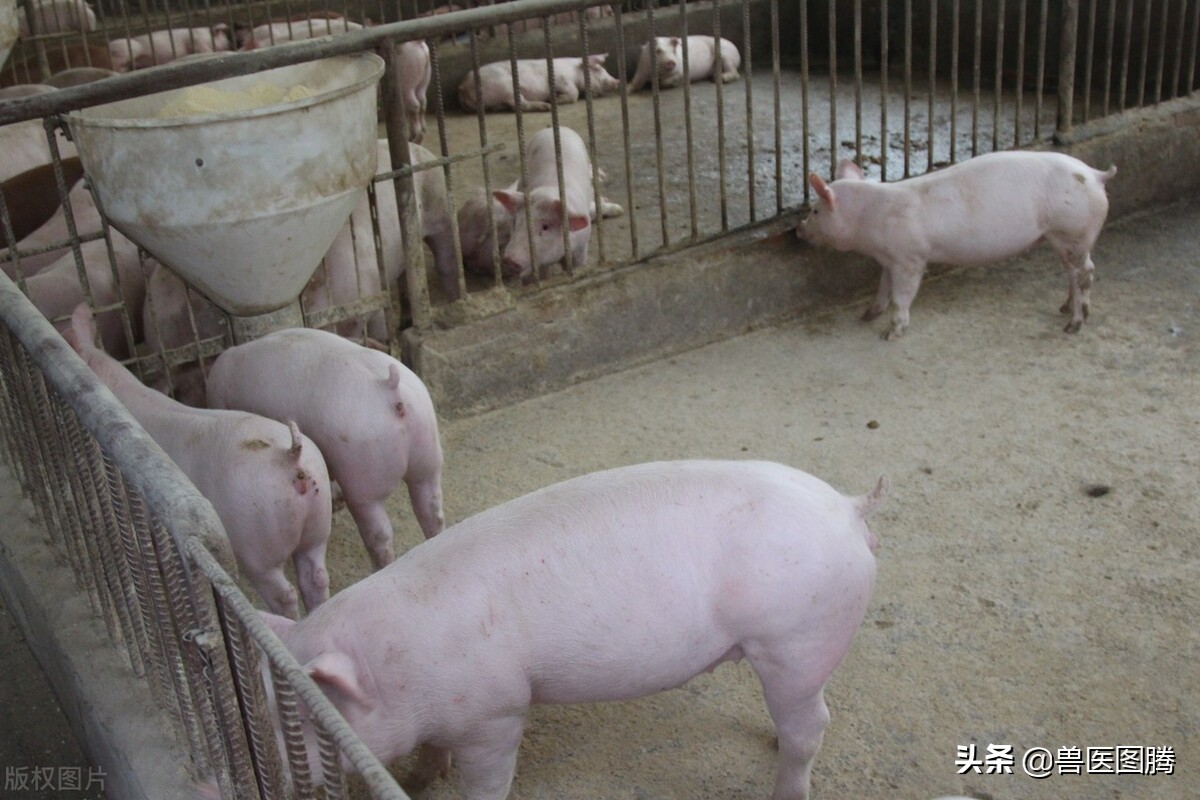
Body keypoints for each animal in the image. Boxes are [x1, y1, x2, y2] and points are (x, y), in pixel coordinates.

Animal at [259, 460, 886, 800]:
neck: (395, 671)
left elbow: (487, 777)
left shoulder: (495, 711)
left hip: (796, 638)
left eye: (302, 720)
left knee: (812, 725)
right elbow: (433, 752)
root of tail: (847, 507)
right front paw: (418, 779)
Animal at [457, 54, 621, 113]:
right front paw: (556, 99)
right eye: (598, 69)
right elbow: (573, 92)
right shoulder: (561, 79)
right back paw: (547, 106)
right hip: (505, 85)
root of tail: (463, 86)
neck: (574, 69)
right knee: (520, 105)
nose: (618, 81)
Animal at [493, 126, 623, 278]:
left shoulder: (581, 246)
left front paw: (619, 209)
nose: (509, 260)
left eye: (546, 227)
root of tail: (554, 128)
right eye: (514, 223)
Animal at [797, 153, 1118, 339]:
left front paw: (891, 332)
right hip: (1063, 237)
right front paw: (866, 315)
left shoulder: (910, 258)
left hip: (1073, 231)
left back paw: (1074, 324)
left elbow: (902, 295)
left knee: (1087, 271)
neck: (869, 217)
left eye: (815, 210)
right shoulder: (889, 259)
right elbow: (883, 289)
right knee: (1073, 271)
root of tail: (1095, 174)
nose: (798, 230)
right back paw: (1064, 308)